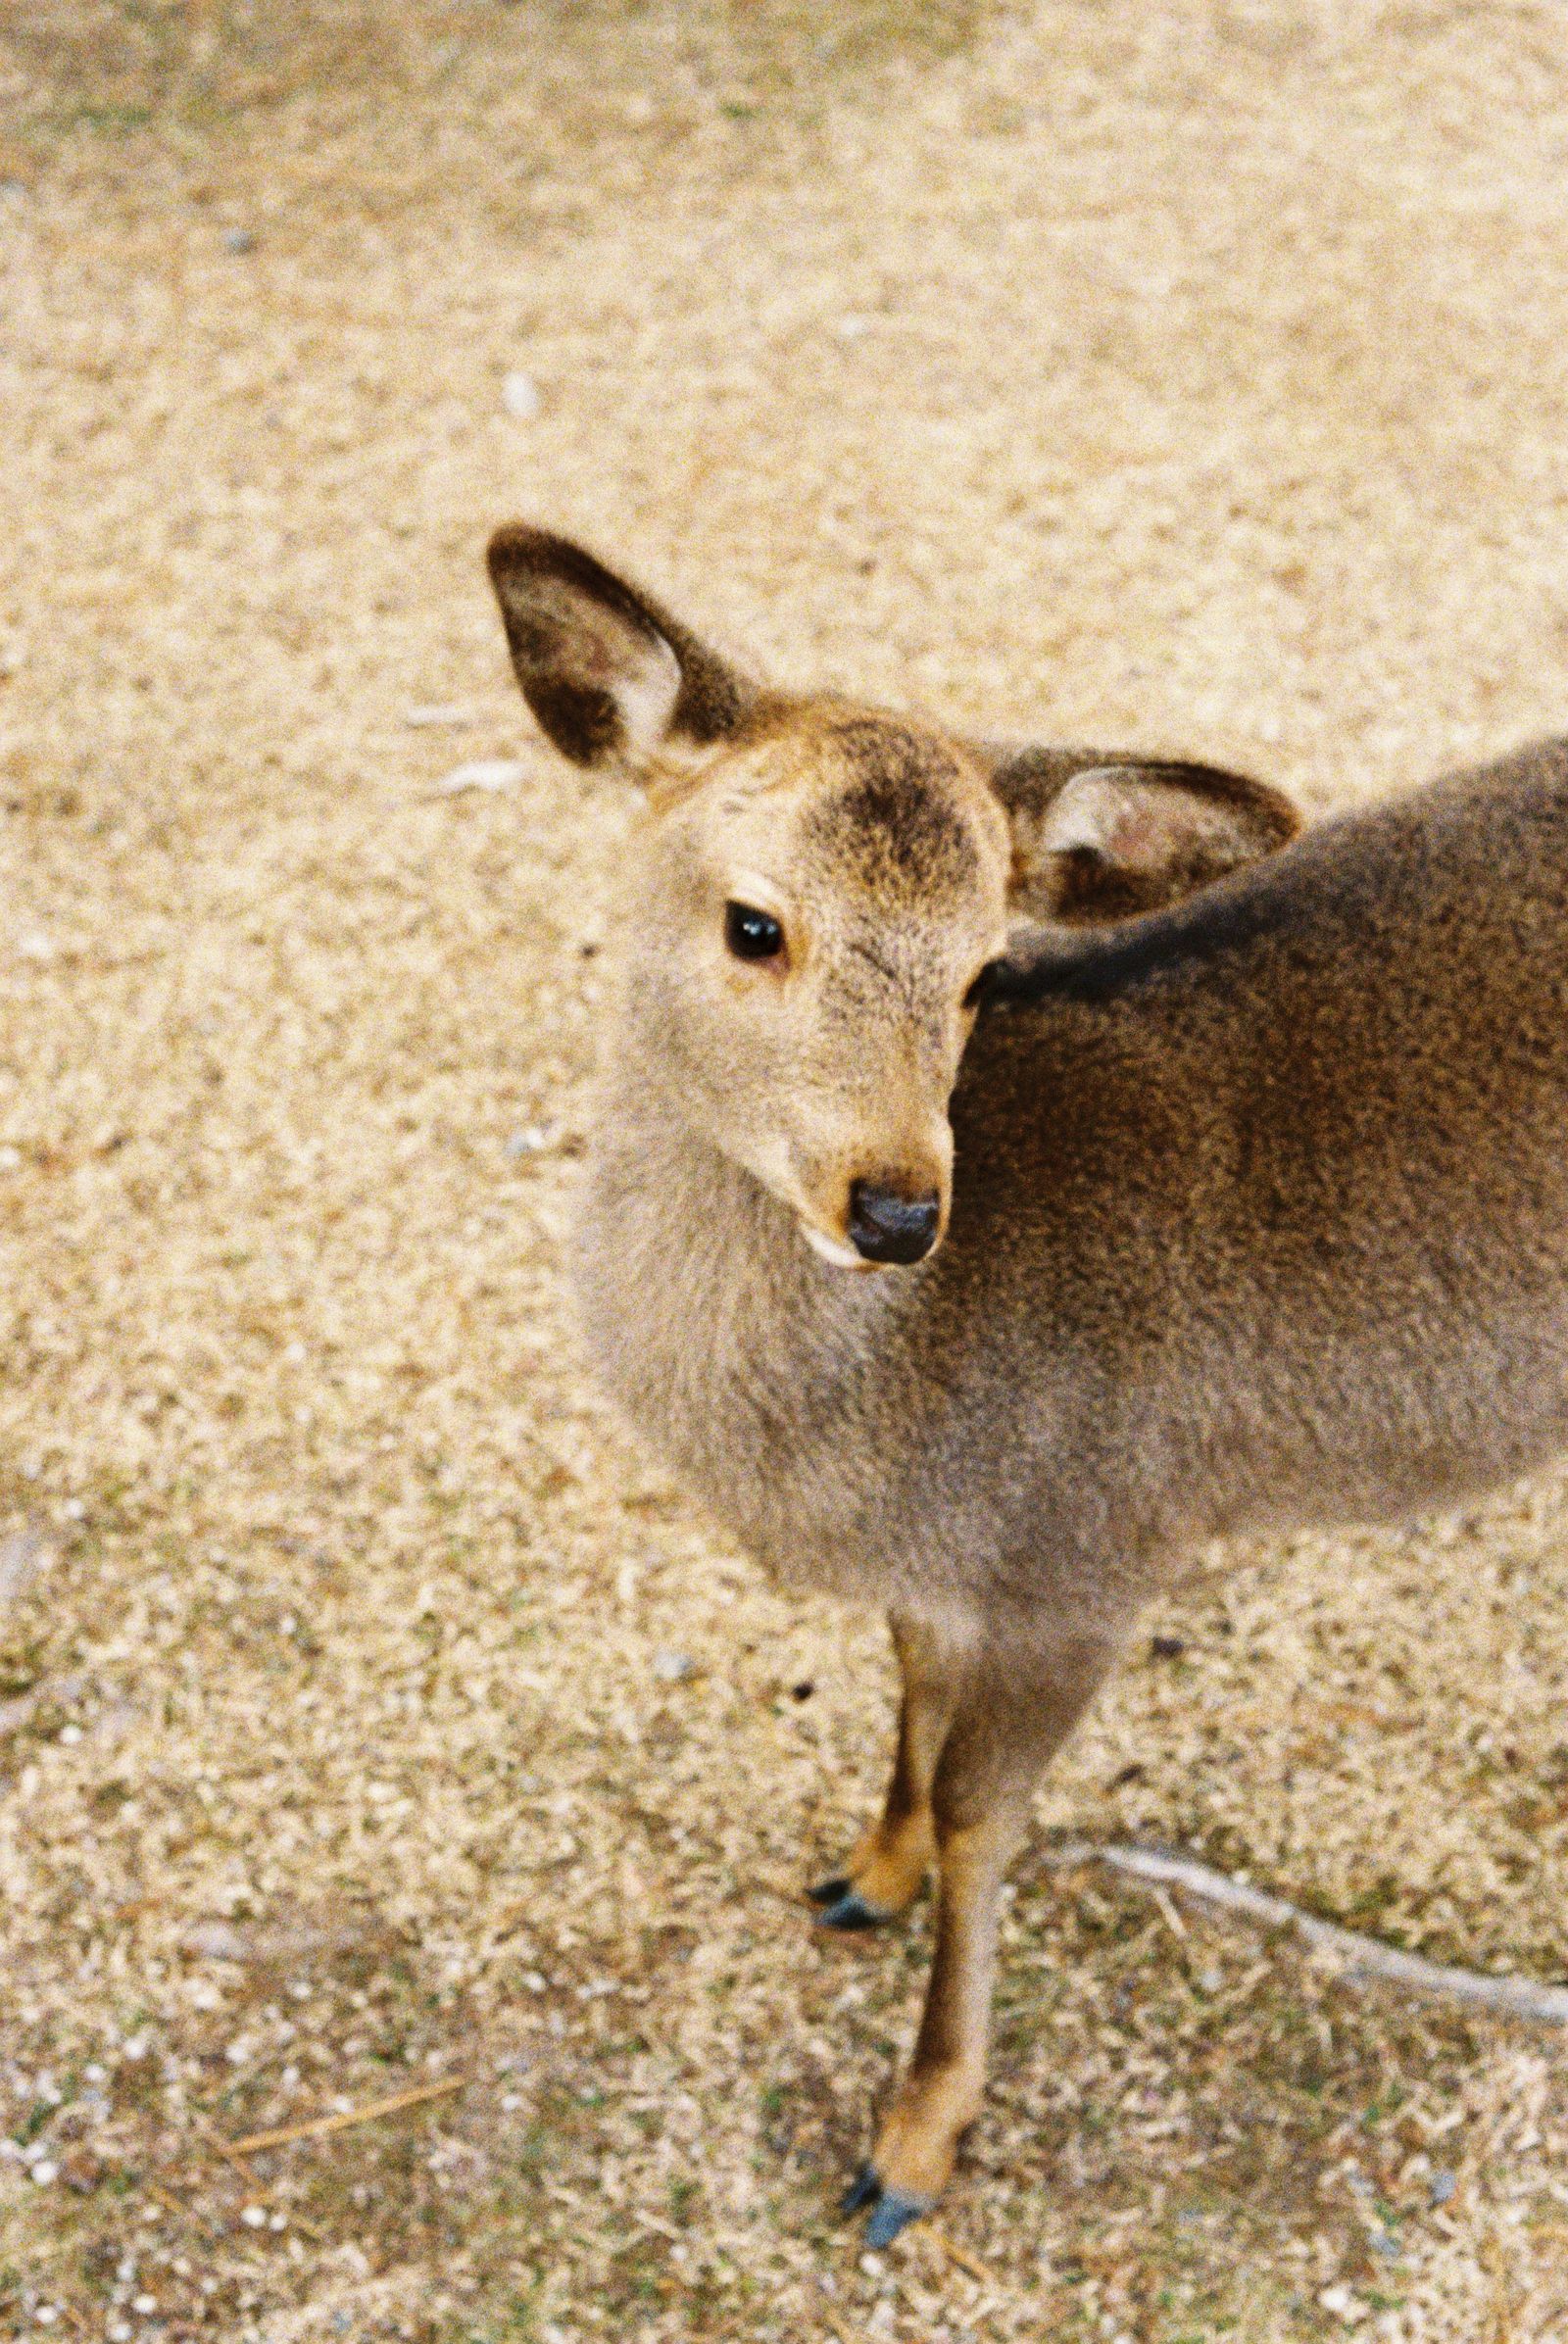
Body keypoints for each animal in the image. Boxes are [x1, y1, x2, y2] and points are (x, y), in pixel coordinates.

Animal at [486, 522, 1568, 2247]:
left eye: (988, 971)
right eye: (752, 923)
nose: (896, 1209)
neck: (882, 1442)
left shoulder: (1090, 1555)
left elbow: (990, 1815)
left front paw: (911, 2148)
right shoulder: (949, 1576)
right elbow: (914, 1708)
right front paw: (864, 1874)